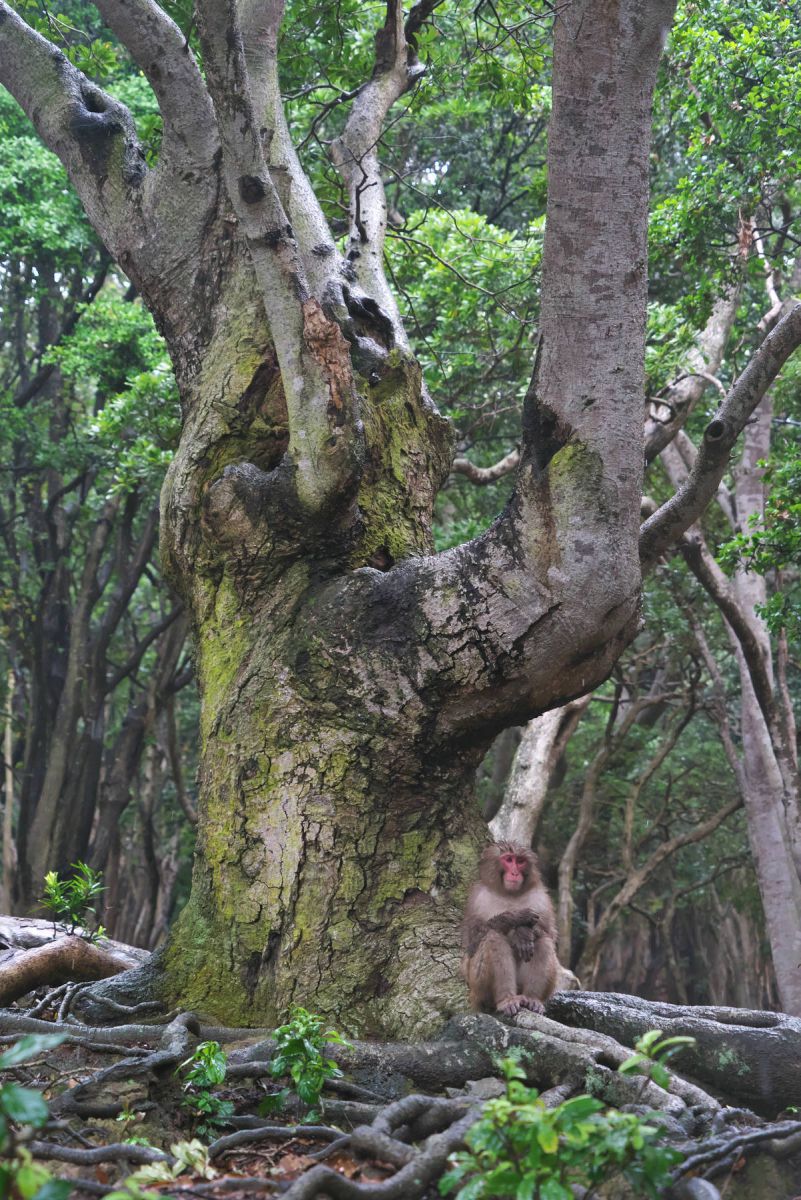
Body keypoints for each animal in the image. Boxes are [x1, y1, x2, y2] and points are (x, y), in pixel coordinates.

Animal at [461, 841, 559, 1017]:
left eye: (520, 861)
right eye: (508, 860)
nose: (514, 873)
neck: (509, 894)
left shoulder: (542, 898)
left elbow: (549, 934)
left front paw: (524, 932)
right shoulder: (476, 898)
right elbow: (472, 942)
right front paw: (516, 919)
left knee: (544, 942)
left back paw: (532, 999)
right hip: (477, 987)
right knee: (492, 938)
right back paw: (506, 1000)